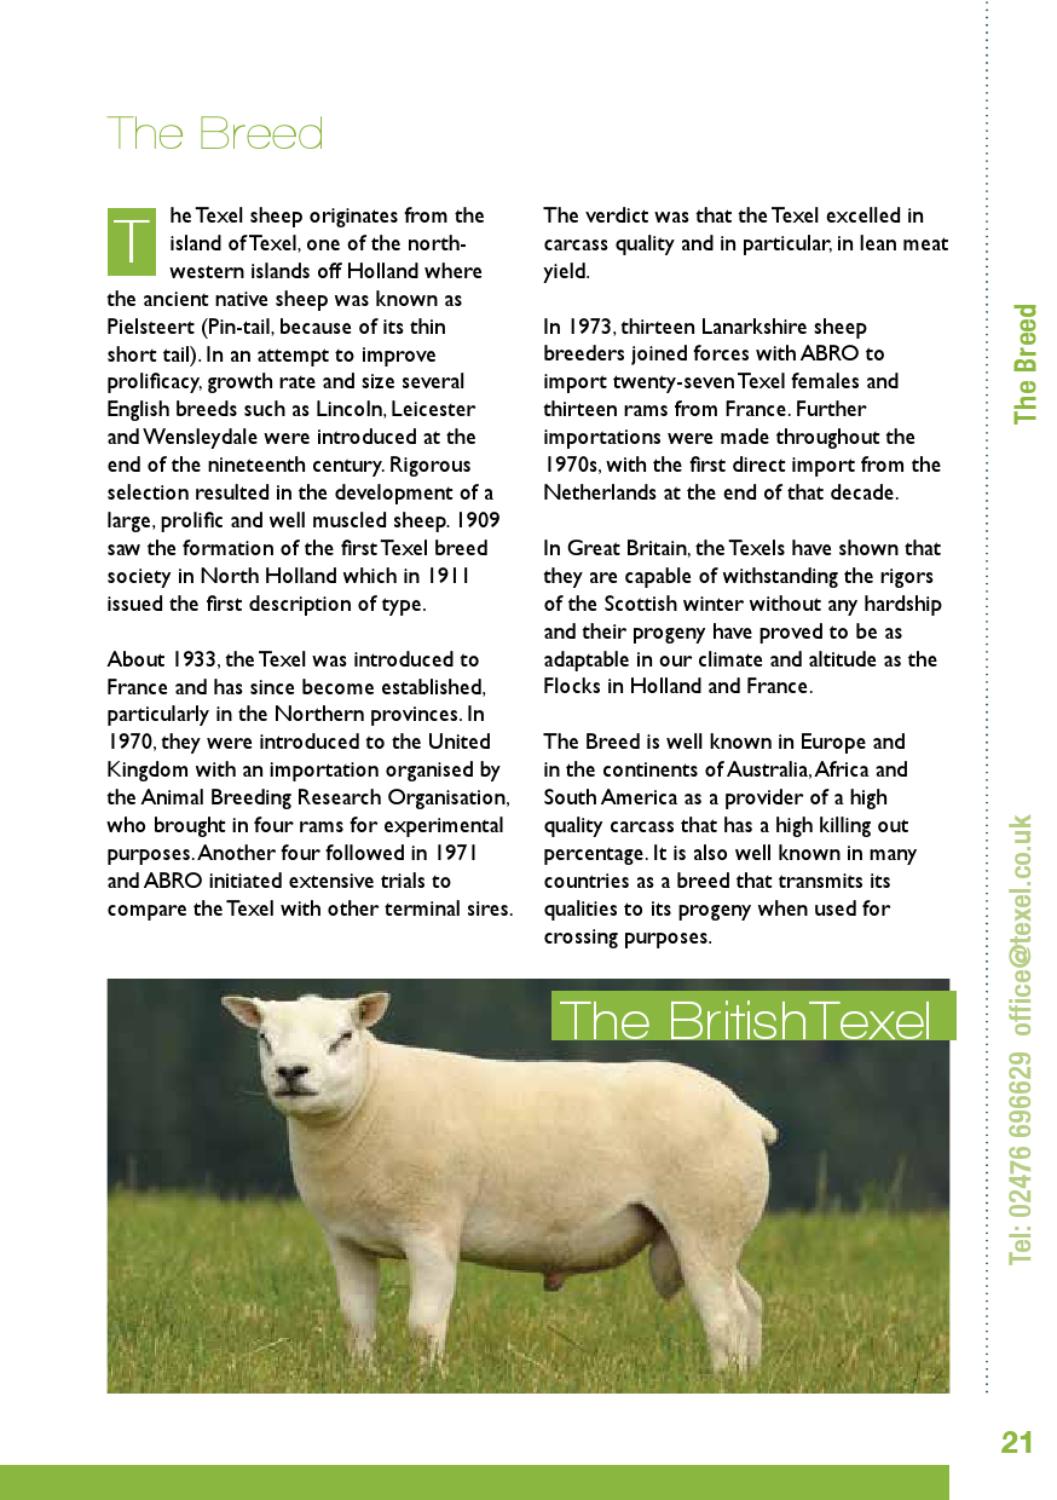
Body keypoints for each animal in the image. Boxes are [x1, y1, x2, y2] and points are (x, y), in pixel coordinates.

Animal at [222, 991, 777, 1371]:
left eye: (343, 1038)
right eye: (264, 1038)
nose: (291, 1072)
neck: (368, 1103)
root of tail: (748, 1115)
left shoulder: (432, 1228)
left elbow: (424, 1325)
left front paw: (428, 1380)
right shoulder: (345, 1239)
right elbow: (356, 1322)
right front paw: (362, 1378)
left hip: (703, 1221)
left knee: (725, 1316)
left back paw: (722, 1380)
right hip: (720, 1230)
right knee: (750, 1305)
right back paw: (747, 1378)